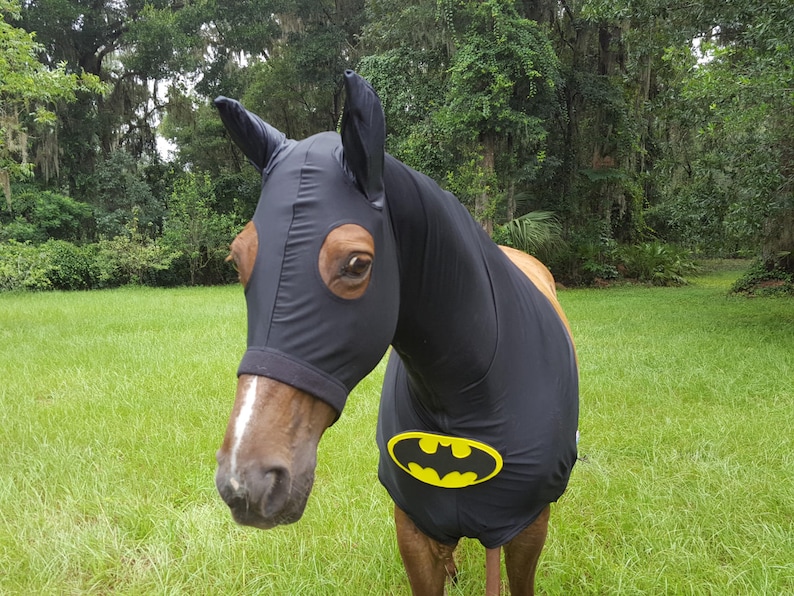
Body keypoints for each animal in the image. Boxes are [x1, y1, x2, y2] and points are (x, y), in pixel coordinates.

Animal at [214, 70, 579, 595]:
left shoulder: (527, 527)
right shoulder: (413, 524)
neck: (467, 395)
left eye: (356, 263)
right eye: (237, 259)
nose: (246, 482)